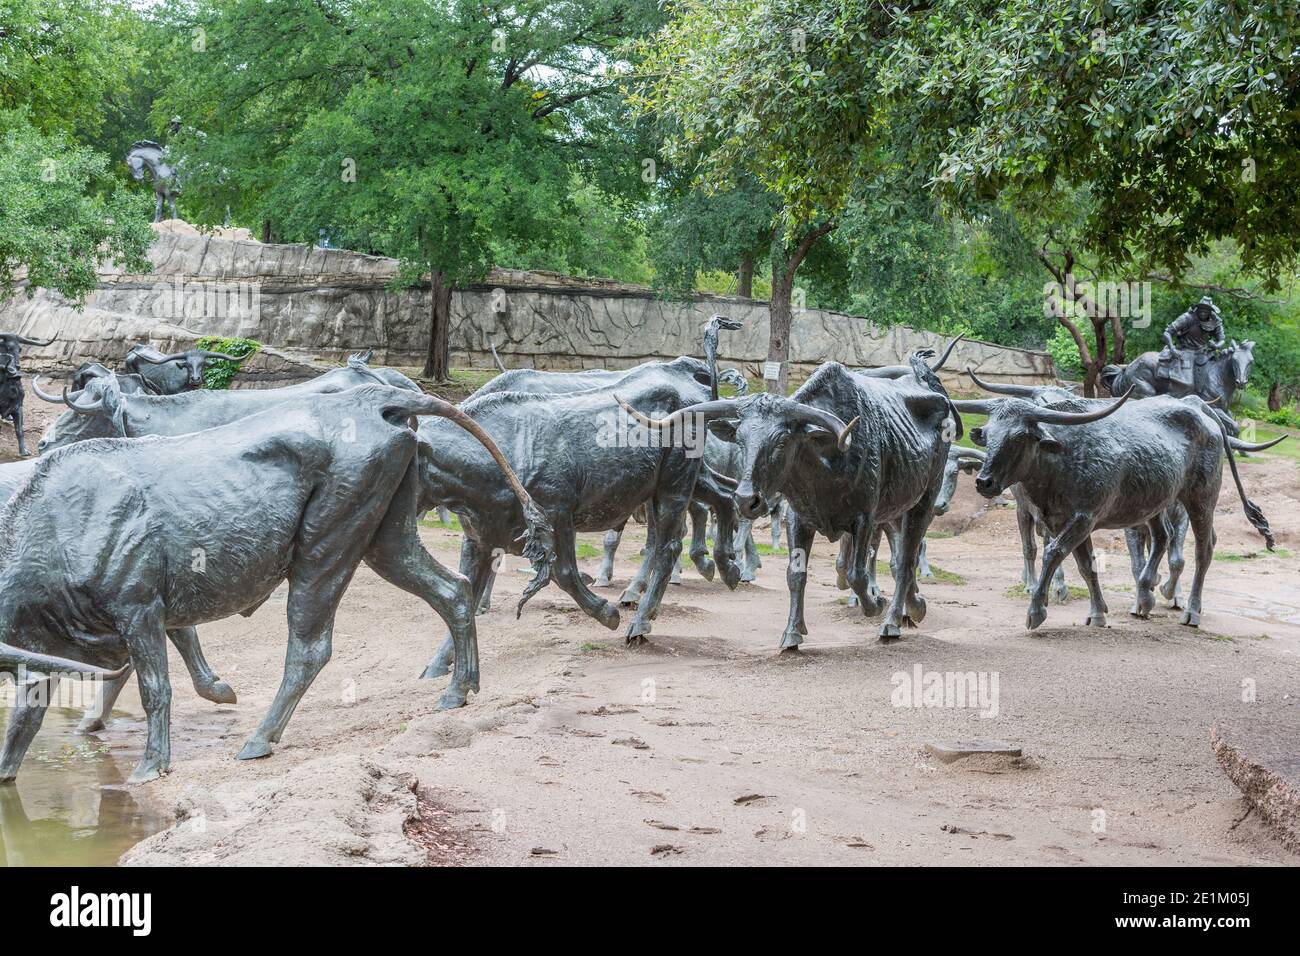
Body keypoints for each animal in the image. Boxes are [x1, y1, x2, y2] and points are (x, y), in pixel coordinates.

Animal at [0, 384, 552, 784]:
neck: (58, 521)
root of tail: (377, 402)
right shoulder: (64, 642)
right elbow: (31, 713)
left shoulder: (138, 610)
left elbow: (155, 688)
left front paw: (150, 766)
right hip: (387, 539)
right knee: (454, 590)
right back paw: (459, 689)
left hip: (325, 551)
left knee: (310, 648)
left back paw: (259, 740)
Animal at [617, 356, 959, 645]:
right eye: (741, 439)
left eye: (781, 441)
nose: (747, 499)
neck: (828, 459)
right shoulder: (799, 518)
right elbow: (796, 575)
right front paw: (792, 633)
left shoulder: (864, 518)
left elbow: (857, 574)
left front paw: (874, 604)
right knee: (904, 560)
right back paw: (914, 606)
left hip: (922, 503)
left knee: (906, 561)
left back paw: (892, 621)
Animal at [967, 390, 1279, 630]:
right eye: (987, 434)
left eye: (1019, 437)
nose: (984, 482)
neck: (1063, 455)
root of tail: (1203, 414)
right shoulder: (1062, 521)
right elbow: (1086, 565)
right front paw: (1097, 613)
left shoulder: (1084, 518)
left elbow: (1052, 553)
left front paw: (1036, 611)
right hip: (1154, 502)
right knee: (1163, 537)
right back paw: (1144, 597)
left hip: (1201, 499)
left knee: (1204, 549)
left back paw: (1191, 611)